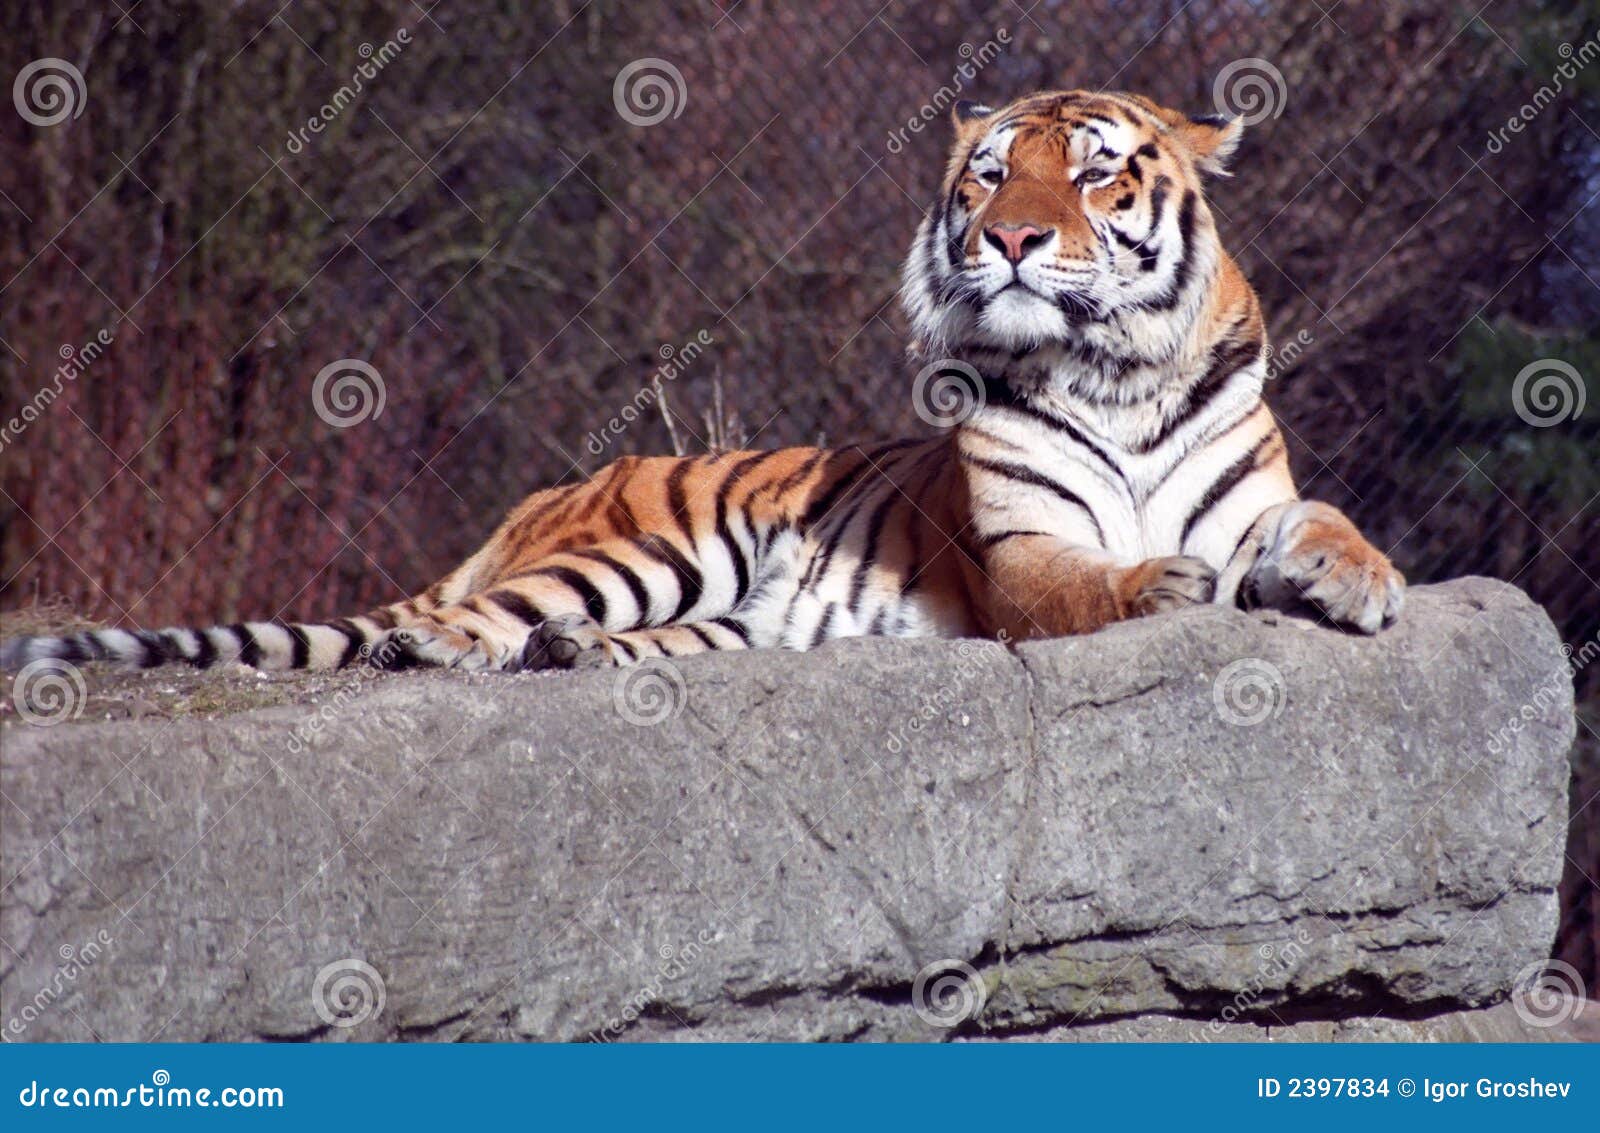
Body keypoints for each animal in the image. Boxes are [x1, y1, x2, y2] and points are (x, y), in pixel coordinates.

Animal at [0, 88, 1403, 679]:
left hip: (735, 613)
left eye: (1100, 172)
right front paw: (1156, 584)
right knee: (475, 618)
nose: (1009, 239)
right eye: (993, 174)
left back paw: (567, 653)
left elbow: (1323, 517)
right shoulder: (1021, 552)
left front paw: (1357, 581)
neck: (1114, 370)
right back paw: (441, 643)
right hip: (649, 547)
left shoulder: (1248, 495)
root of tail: (544, 495)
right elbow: (1082, 584)